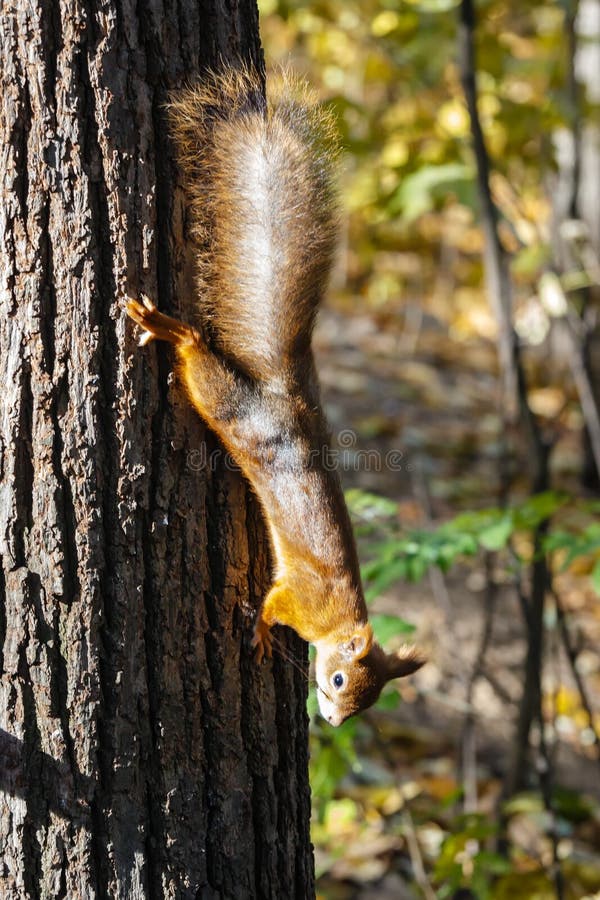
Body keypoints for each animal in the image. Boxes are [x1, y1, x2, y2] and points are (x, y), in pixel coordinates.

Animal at [127, 67, 424, 726]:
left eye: (367, 703)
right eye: (337, 680)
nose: (334, 721)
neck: (341, 619)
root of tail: (287, 394)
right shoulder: (298, 598)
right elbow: (269, 604)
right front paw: (262, 636)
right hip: (231, 409)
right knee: (201, 366)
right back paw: (173, 332)